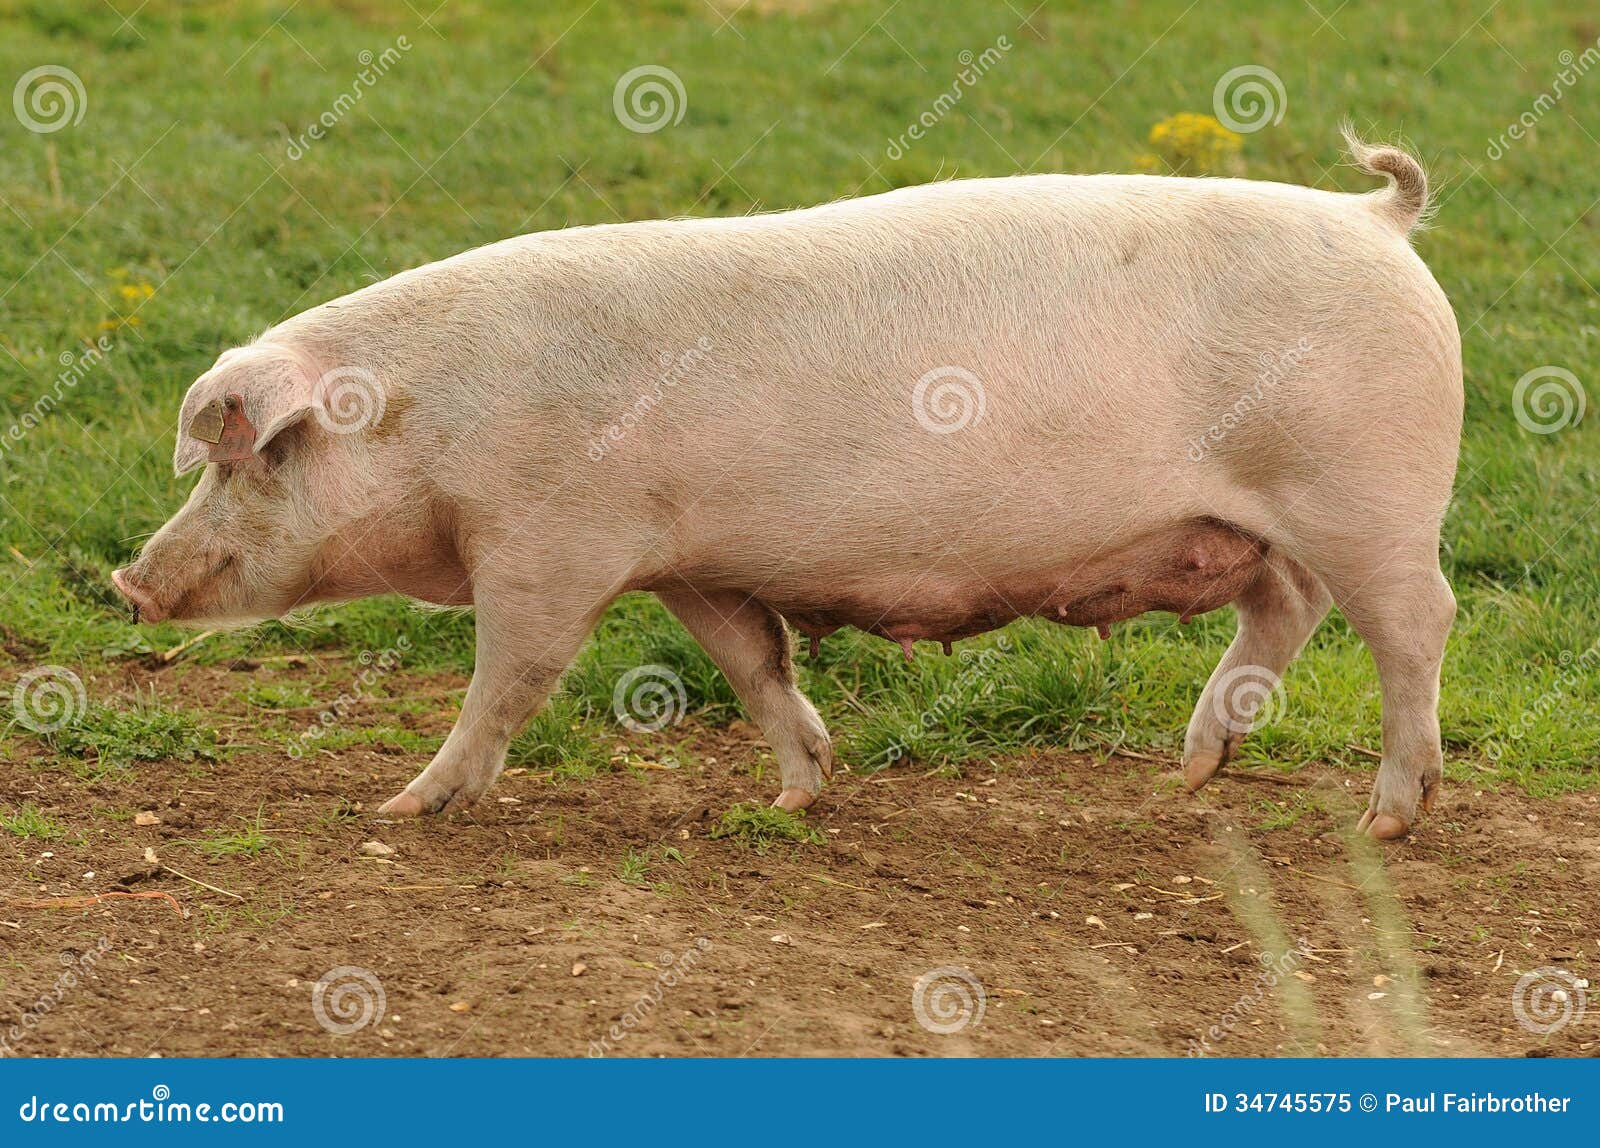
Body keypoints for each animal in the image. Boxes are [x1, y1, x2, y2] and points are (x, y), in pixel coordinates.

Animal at [113, 130, 1460, 840]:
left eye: (246, 456)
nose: (128, 581)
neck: (443, 419)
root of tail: (1378, 222)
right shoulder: (686, 560)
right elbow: (755, 662)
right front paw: (800, 791)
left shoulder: (554, 544)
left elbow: (511, 678)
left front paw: (404, 805)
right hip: (1264, 518)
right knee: (1285, 608)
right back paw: (1190, 775)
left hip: (1367, 494)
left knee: (1413, 626)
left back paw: (1383, 820)